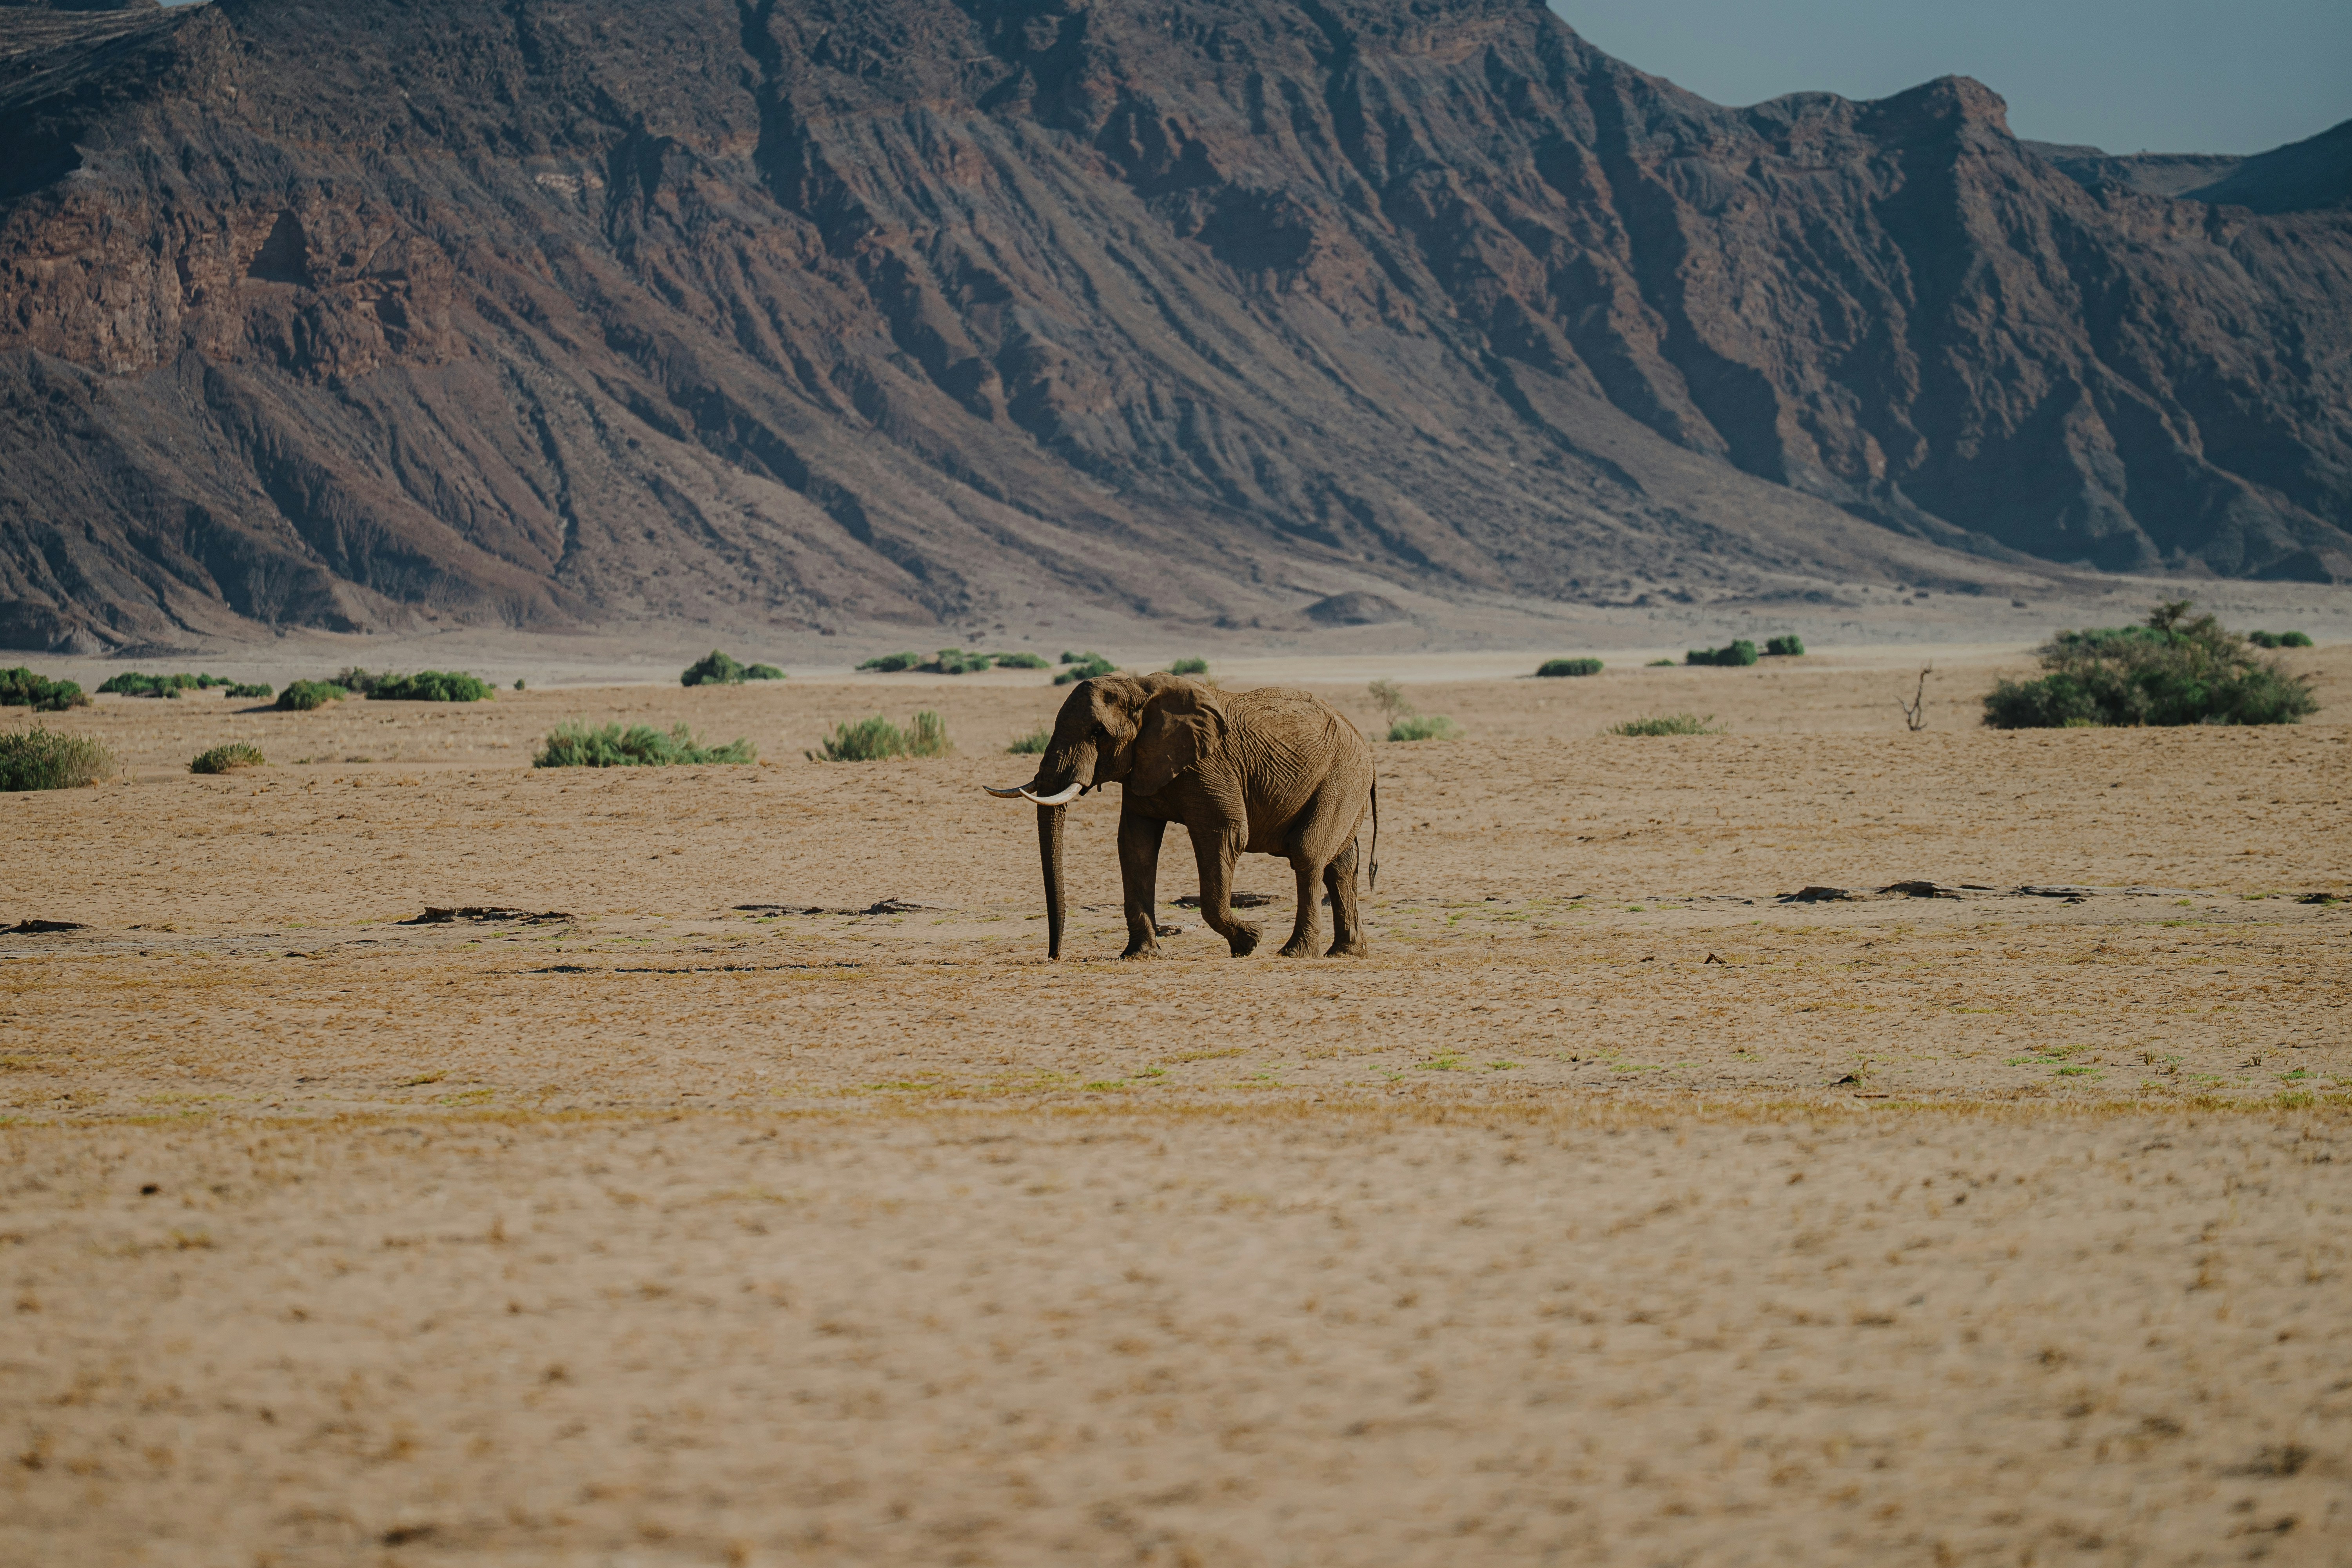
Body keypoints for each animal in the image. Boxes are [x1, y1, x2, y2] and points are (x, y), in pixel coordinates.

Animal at [983, 674, 1378, 960]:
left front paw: (1250, 942)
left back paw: (1295, 953)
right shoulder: (1143, 768)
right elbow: (1135, 845)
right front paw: (1140, 956)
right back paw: (1345, 953)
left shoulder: (1211, 767)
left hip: (1342, 778)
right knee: (1341, 865)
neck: (1139, 688)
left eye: (1098, 733)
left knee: (1308, 855)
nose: (1054, 956)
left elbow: (1226, 833)